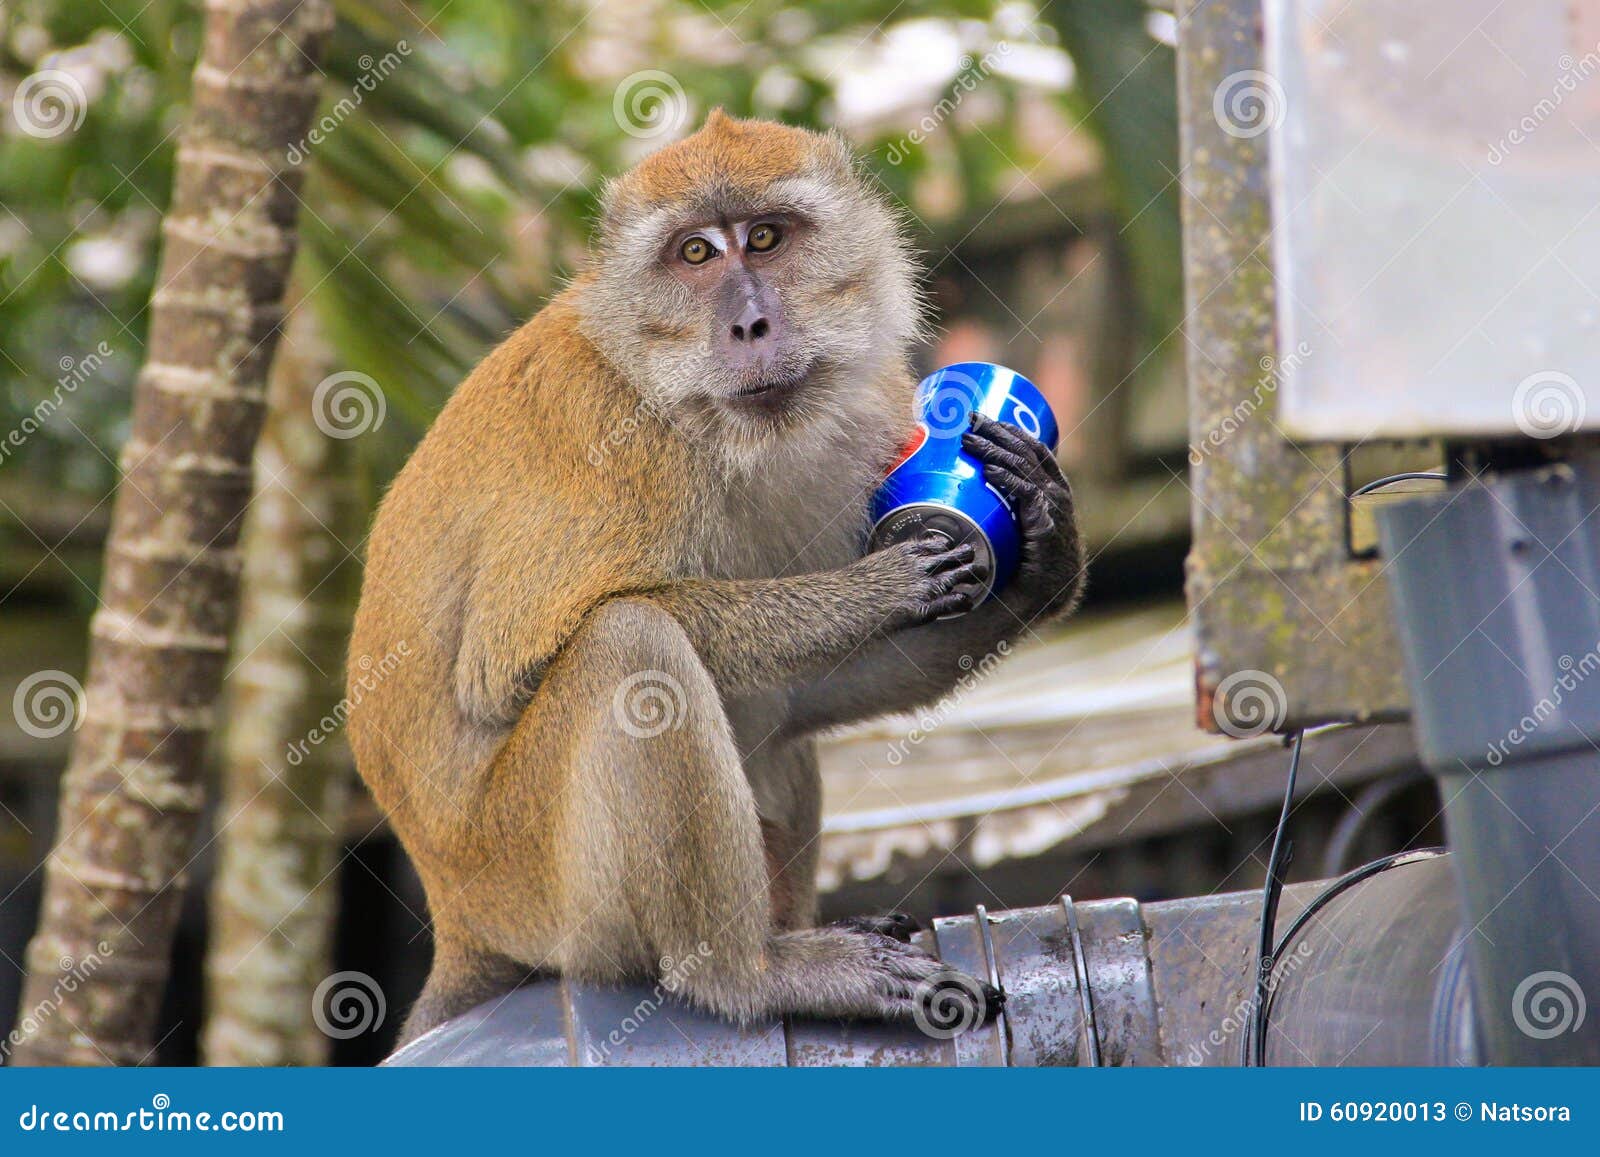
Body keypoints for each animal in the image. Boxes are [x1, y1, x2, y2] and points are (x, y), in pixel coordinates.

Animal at [345, 110, 1084, 1047]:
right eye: (695, 254)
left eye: (765, 238)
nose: (750, 325)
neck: (677, 394)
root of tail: (458, 917)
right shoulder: (615, 445)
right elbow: (505, 670)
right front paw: (882, 587)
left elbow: (799, 701)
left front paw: (1040, 552)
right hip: (531, 881)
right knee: (631, 647)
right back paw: (752, 972)